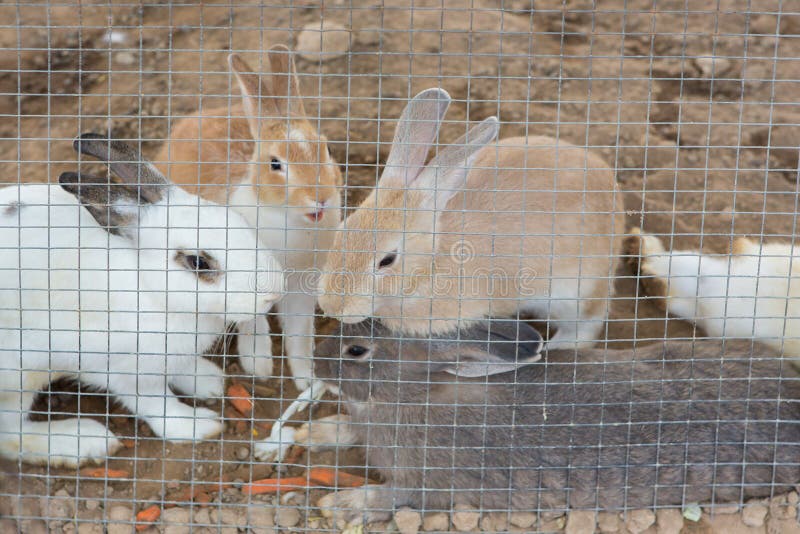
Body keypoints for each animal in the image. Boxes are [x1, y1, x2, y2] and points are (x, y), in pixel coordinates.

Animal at [0, 133, 284, 467]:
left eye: (238, 219)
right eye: (198, 262)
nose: (275, 290)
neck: (150, 289)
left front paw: (209, 381)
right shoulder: (126, 372)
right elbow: (157, 403)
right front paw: (198, 425)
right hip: (17, 377)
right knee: (10, 434)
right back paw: (86, 441)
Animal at [155, 45, 342, 389]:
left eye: (327, 149)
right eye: (275, 164)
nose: (320, 197)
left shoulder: (301, 289)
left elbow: (299, 335)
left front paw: (306, 379)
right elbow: (253, 322)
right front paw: (259, 365)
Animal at [306, 319, 800, 524]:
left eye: (356, 351)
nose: (316, 361)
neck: (420, 390)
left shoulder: (428, 486)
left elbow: (390, 497)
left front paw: (339, 505)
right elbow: (346, 426)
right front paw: (315, 432)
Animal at [317, 88, 623, 350]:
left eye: (387, 260)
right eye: (342, 230)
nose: (332, 306)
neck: (430, 265)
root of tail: (613, 190)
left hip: (577, 290)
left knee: (586, 325)